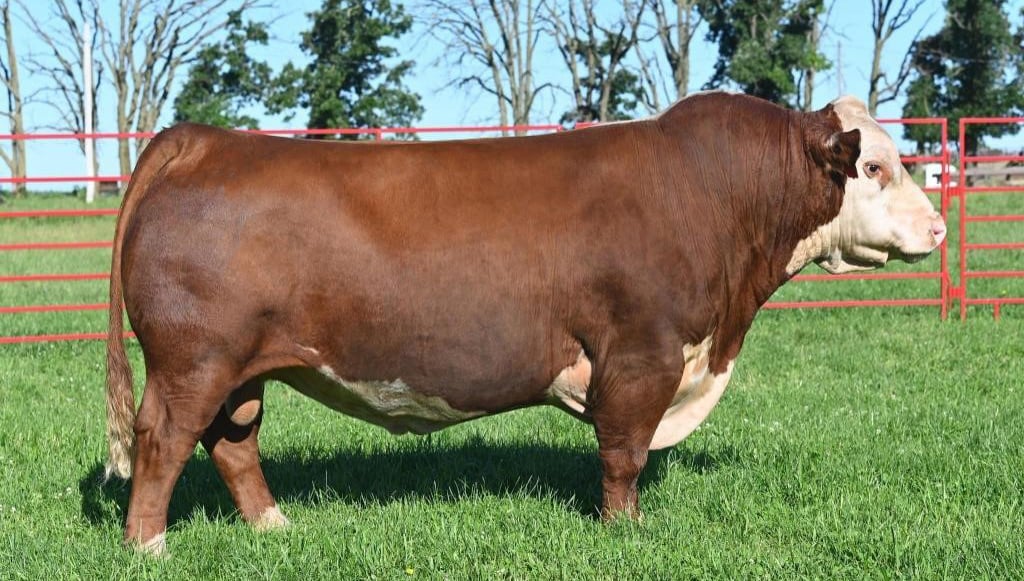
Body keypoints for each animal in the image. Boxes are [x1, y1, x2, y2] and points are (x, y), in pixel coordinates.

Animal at [104, 93, 945, 554]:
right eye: (875, 167)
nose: (938, 228)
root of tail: (202, 138)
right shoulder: (641, 353)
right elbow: (623, 454)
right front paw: (624, 530)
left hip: (244, 366)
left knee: (232, 443)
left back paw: (274, 526)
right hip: (192, 360)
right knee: (163, 439)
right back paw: (149, 545)